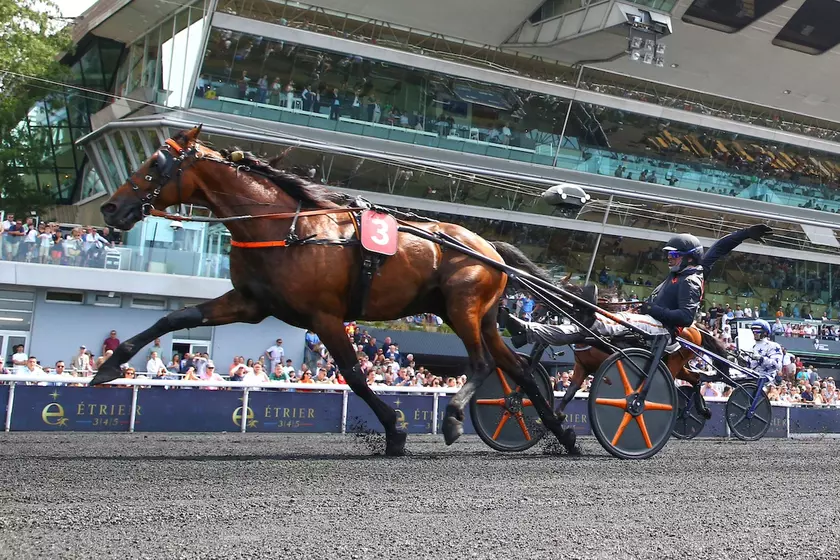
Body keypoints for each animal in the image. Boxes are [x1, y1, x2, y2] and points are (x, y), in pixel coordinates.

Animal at [94, 125, 579, 455]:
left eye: (155, 164)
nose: (111, 208)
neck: (286, 230)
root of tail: (487, 245)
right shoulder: (251, 302)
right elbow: (175, 316)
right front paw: (109, 366)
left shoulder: (324, 316)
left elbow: (355, 375)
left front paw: (396, 430)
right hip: (480, 315)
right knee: (518, 370)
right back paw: (563, 432)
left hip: (463, 308)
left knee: (480, 364)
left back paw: (456, 418)